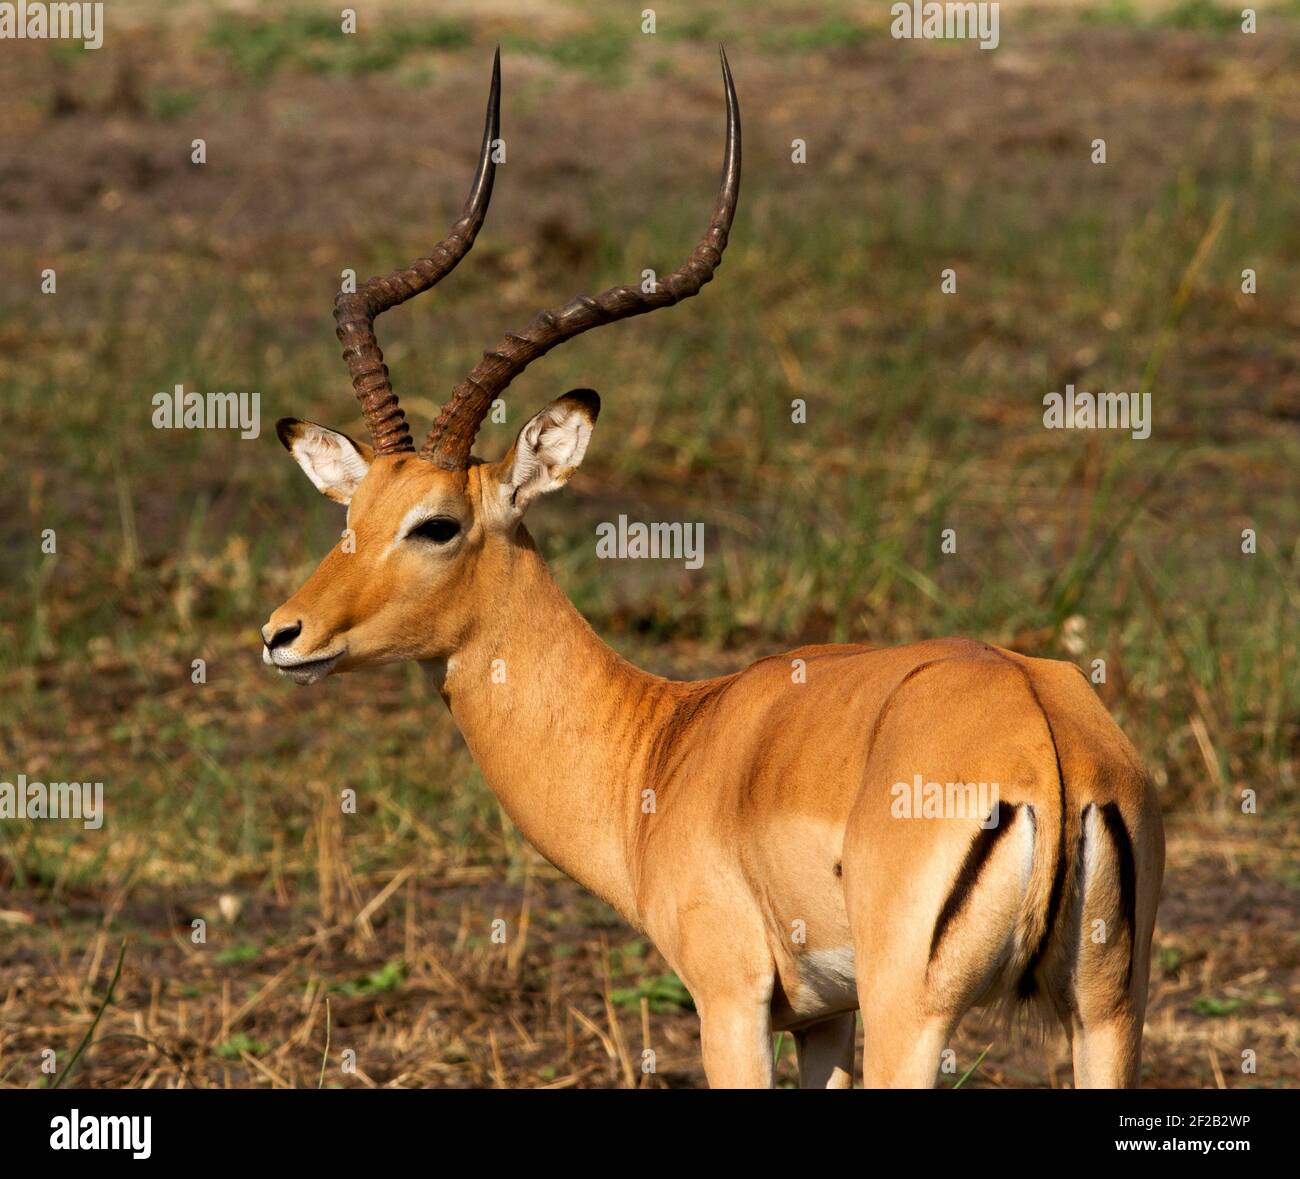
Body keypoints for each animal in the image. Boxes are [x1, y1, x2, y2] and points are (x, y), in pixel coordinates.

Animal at [262, 50, 1164, 1089]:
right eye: (351, 514)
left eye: (436, 524)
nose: (283, 634)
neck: (664, 746)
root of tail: (1044, 738)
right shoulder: (825, 1017)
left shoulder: (732, 999)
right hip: (1106, 1014)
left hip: (918, 1013)